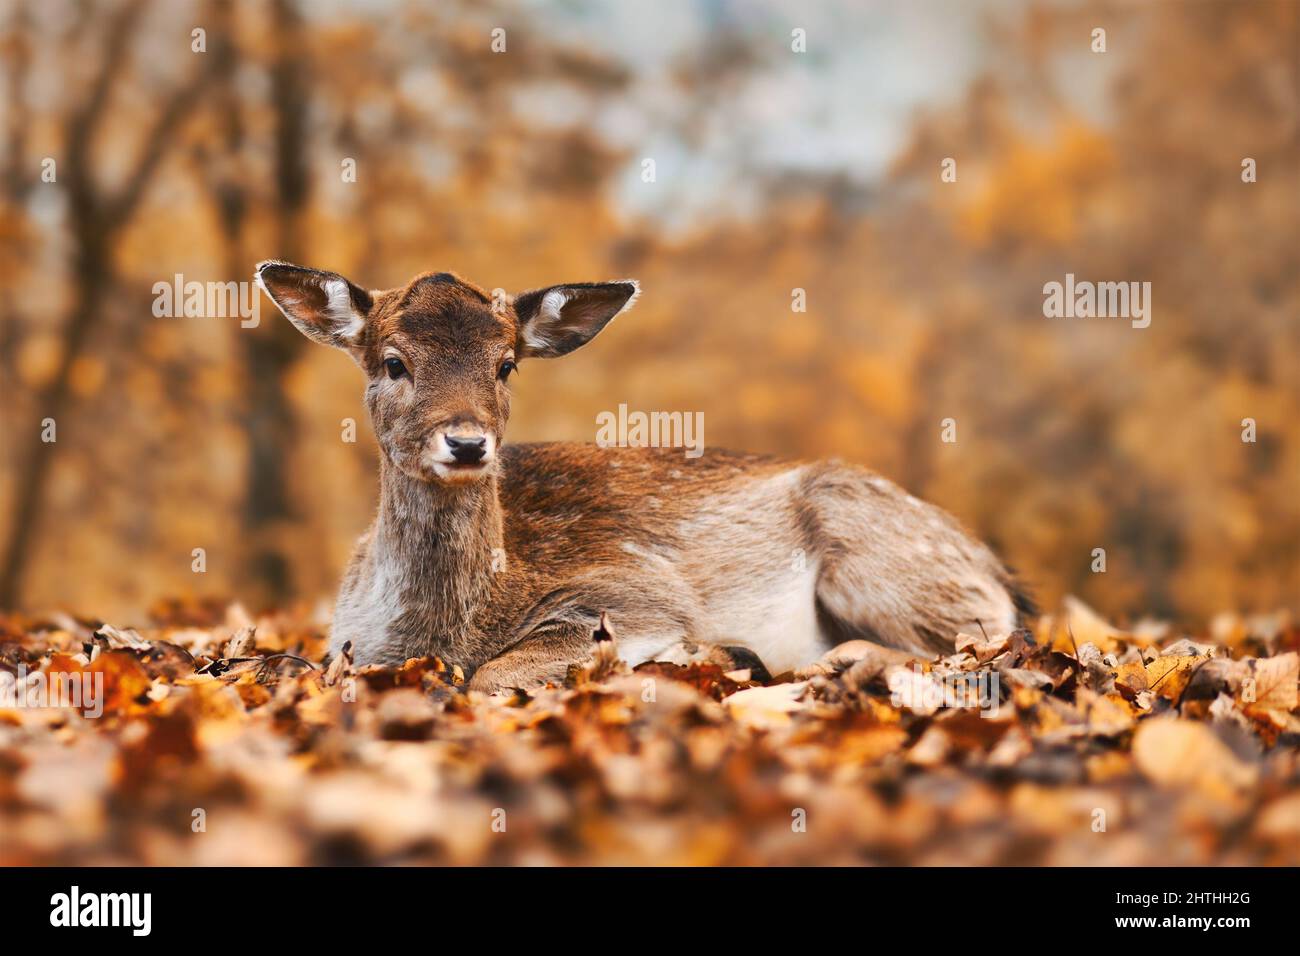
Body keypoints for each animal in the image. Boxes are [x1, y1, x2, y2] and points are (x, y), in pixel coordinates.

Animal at [255, 261, 1031, 693]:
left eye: (505, 365)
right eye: (392, 362)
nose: (469, 443)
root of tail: (997, 566)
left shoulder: (636, 591)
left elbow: (493, 674)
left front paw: (696, 653)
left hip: (880, 559)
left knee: (977, 641)